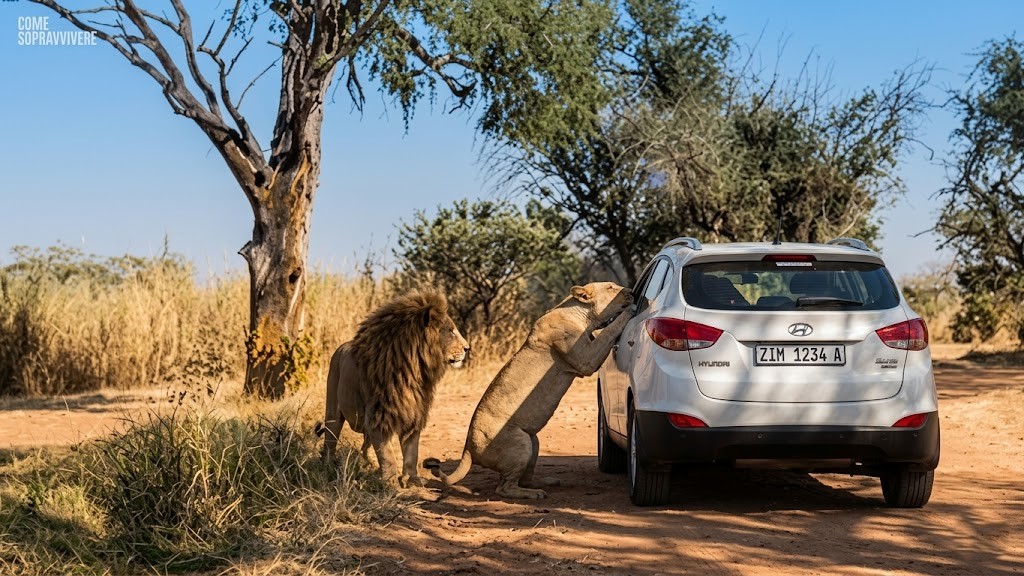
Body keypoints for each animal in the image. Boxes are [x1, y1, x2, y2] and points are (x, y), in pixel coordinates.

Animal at [320, 290, 469, 488]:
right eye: (451, 331)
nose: (468, 348)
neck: (414, 371)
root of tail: (339, 348)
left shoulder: (414, 414)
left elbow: (412, 452)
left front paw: (412, 479)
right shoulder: (378, 416)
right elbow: (387, 454)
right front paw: (390, 482)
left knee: (365, 446)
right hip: (333, 411)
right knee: (330, 442)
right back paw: (327, 468)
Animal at [425, 282, 632, 499]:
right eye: (610, 287)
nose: (631, 292)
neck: (580, 315)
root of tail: (467, 449)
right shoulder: (585, 359)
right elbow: (608, 332)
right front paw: (630, 311)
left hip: (533, 440)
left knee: (525, 478)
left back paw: (546, 482)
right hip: (521, 442)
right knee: (503, 488)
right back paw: (534, 494)